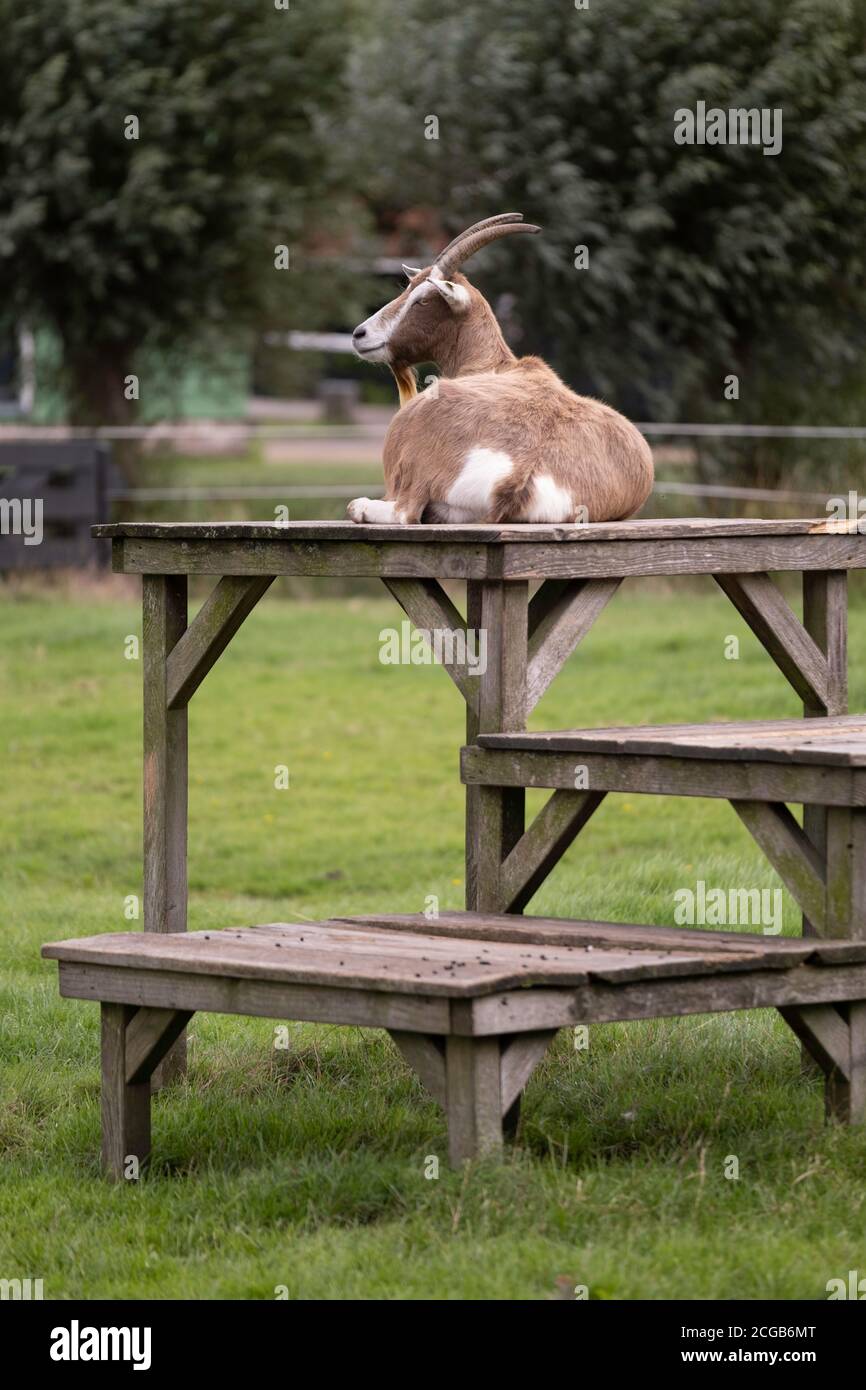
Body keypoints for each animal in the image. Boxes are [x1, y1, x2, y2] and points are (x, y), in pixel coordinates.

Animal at [347, 213, 653, 526]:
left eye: (422, 299)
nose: (360, 334)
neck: (495, 365)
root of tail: (516, 475)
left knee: (402, 512)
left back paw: (363, 505)